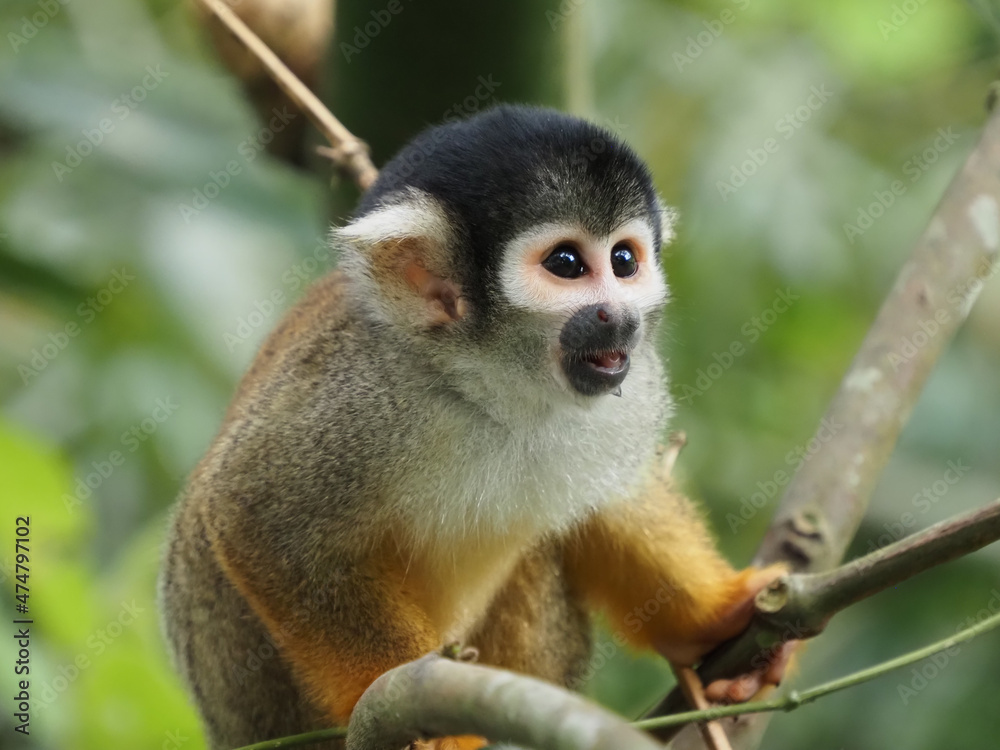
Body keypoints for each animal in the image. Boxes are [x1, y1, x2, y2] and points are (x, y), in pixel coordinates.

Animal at [158, 104, 787, 750]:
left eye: (624, 261)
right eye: (567, 264)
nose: (620, 316)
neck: (497, 386)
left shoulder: (633, 385)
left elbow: (617, 502)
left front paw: (717, 615)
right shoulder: (359, 395)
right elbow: (255, 516)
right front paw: (425, 719)